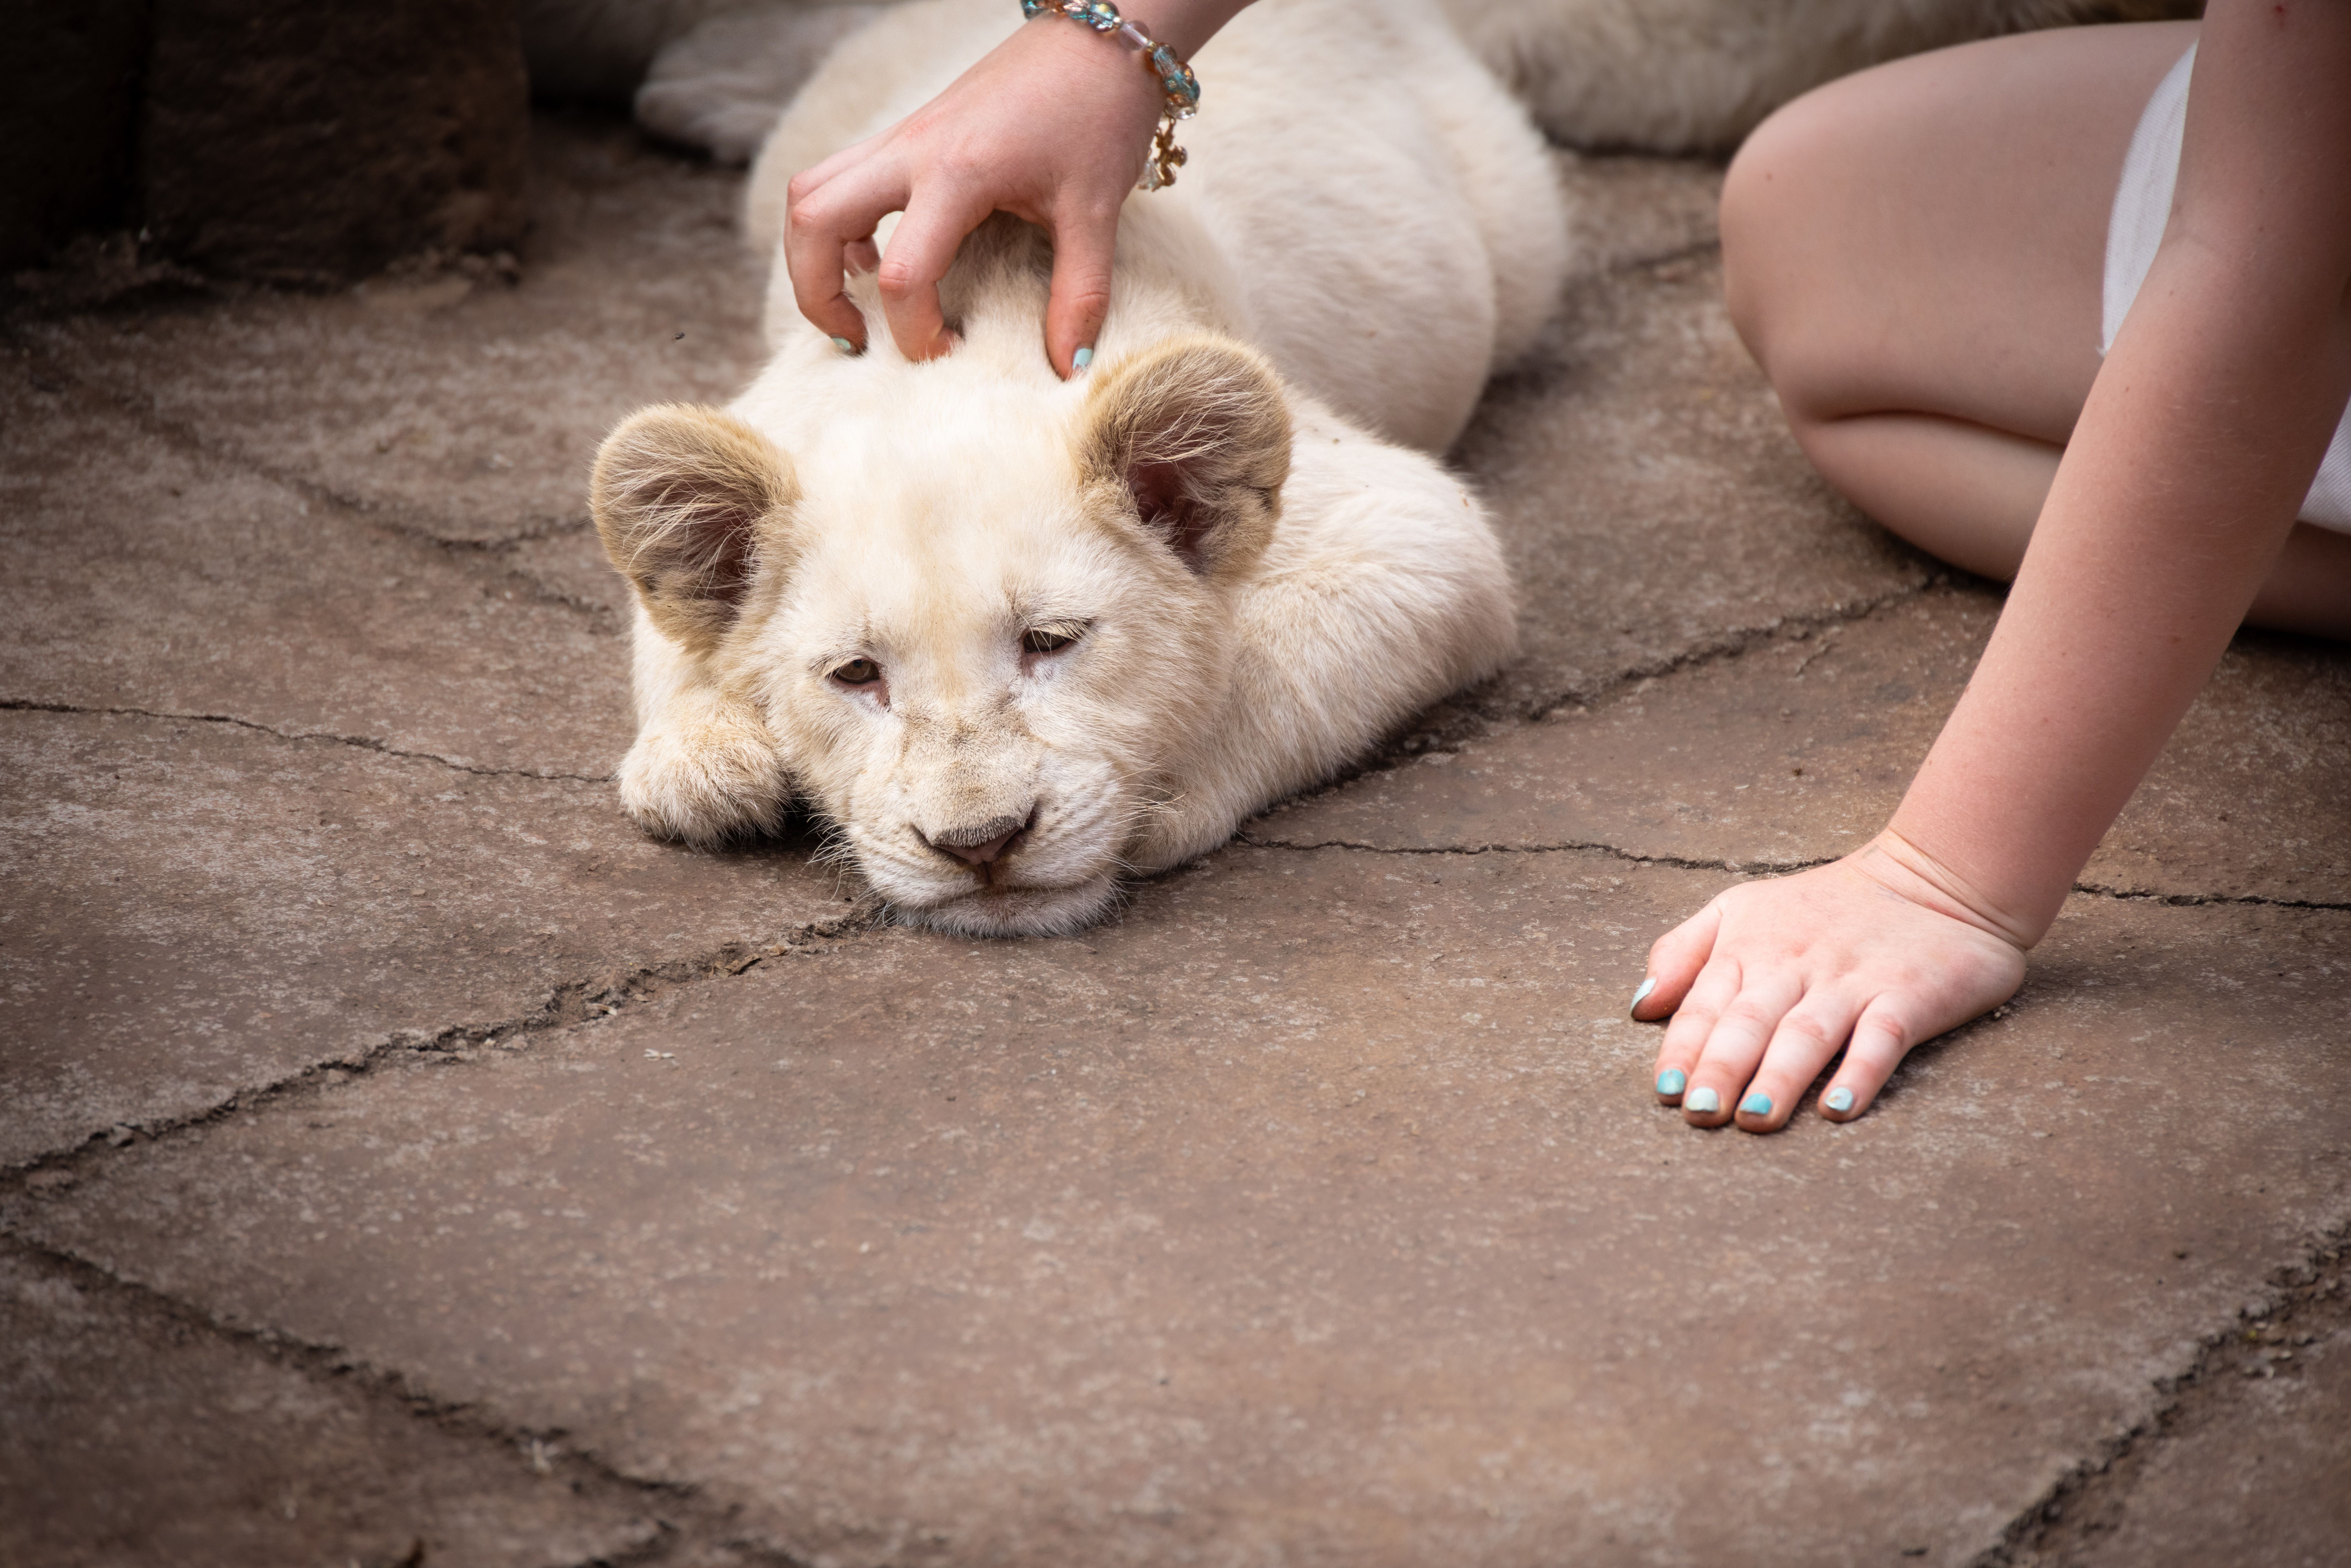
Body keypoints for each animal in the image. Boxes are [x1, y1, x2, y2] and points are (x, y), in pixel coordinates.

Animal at [591, 0, 1565, 935]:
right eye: (857, 674)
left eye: (1052, 641)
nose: (981, 845)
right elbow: (664, 624)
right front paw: (703, 764)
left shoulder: (1416, 524)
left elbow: (1258, 656)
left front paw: (1160, 794)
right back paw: (704, 79)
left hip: (1521, 235)